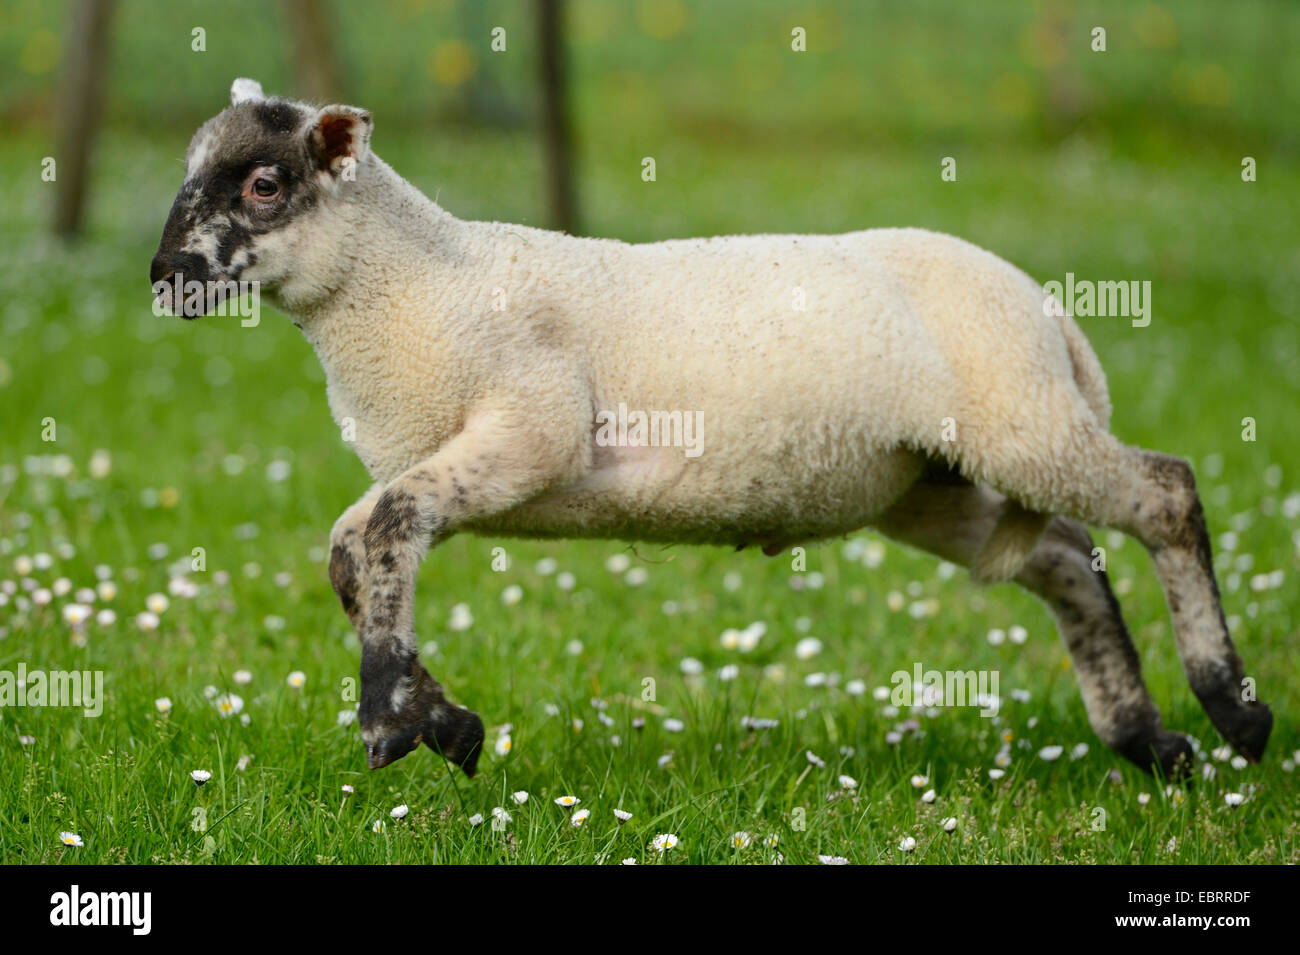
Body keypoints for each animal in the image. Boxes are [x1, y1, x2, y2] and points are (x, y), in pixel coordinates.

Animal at [150, 79, 1272, 779]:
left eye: (264, 183)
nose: (164, 278)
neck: (412, 286)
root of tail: (1045, 307)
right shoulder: (450, 457)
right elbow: (353, 554)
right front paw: (449, 727)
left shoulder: (533, 432)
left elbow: (379, 533)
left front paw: (392, 721)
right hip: (927, 482)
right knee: (1067, 559)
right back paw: (1148, 741)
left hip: (1019, 421)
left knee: (1164, 491)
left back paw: (1233, 709)